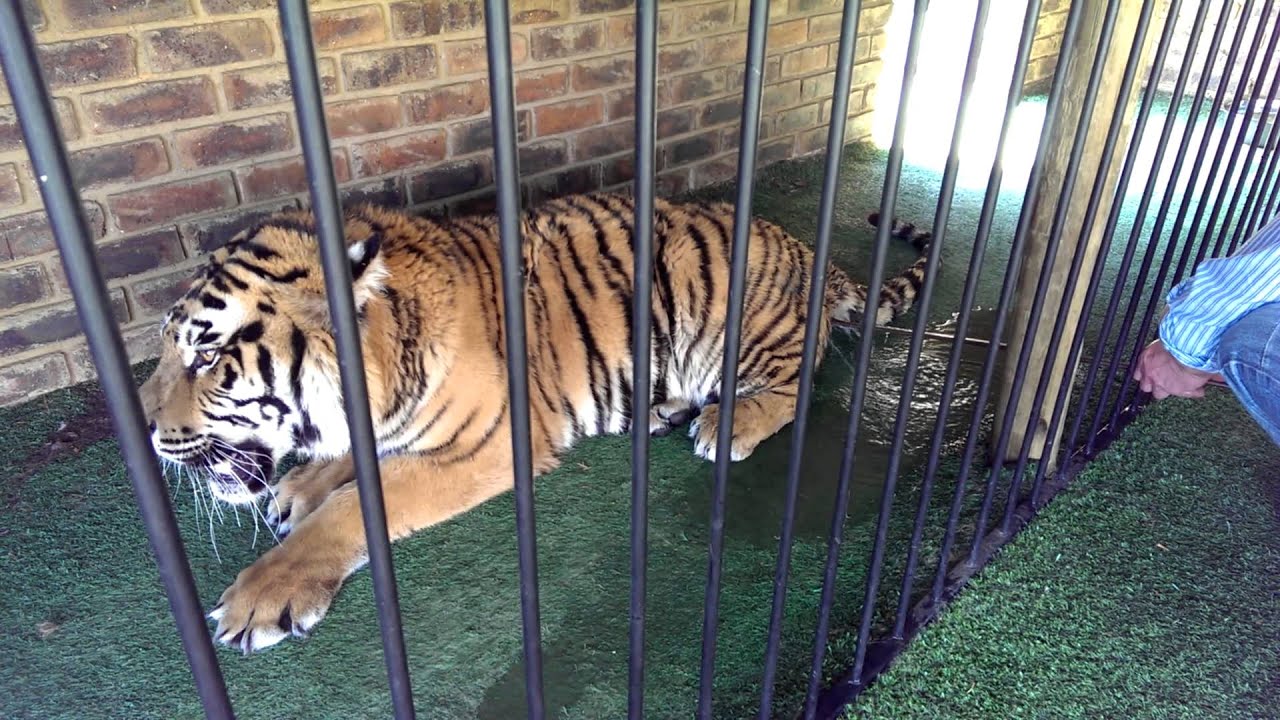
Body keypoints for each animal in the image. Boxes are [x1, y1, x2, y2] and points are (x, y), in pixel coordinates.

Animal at [138, 191, 933, 653]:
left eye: (206, 354)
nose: (144, 429)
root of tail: (807, 249)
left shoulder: (485, 446)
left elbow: (359, 505)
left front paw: (263, 593)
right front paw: (300, 485)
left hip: (730, 318)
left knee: (797, 383)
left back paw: (723, 425)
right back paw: (668, 408)